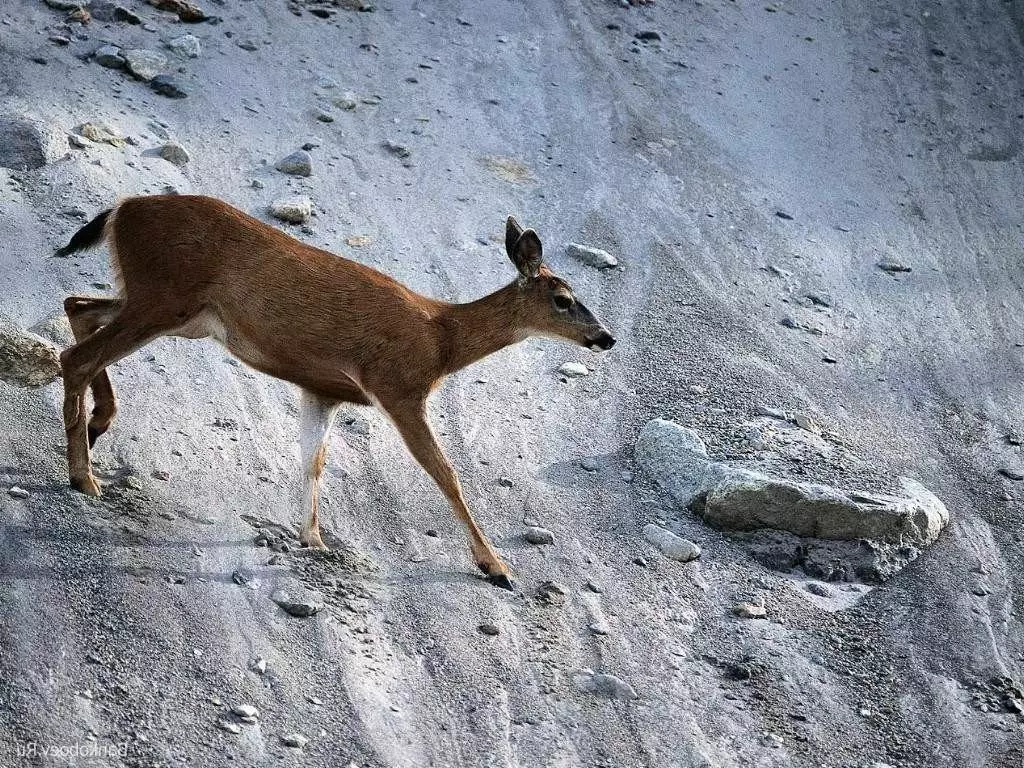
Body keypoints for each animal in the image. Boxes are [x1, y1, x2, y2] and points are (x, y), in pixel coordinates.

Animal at [54, 195, 614, 593]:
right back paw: (84, 475)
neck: (441, 339)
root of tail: (123, 207)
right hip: (164, 297)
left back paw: (98, 427)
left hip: (173, 309)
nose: (606, 336)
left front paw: (313, 538)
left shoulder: (322, 388)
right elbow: (446, 472)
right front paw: (495, 566)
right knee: (76, 355)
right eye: (564, 300)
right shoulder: (397, 386)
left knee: (78, 307)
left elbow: (313, 461)